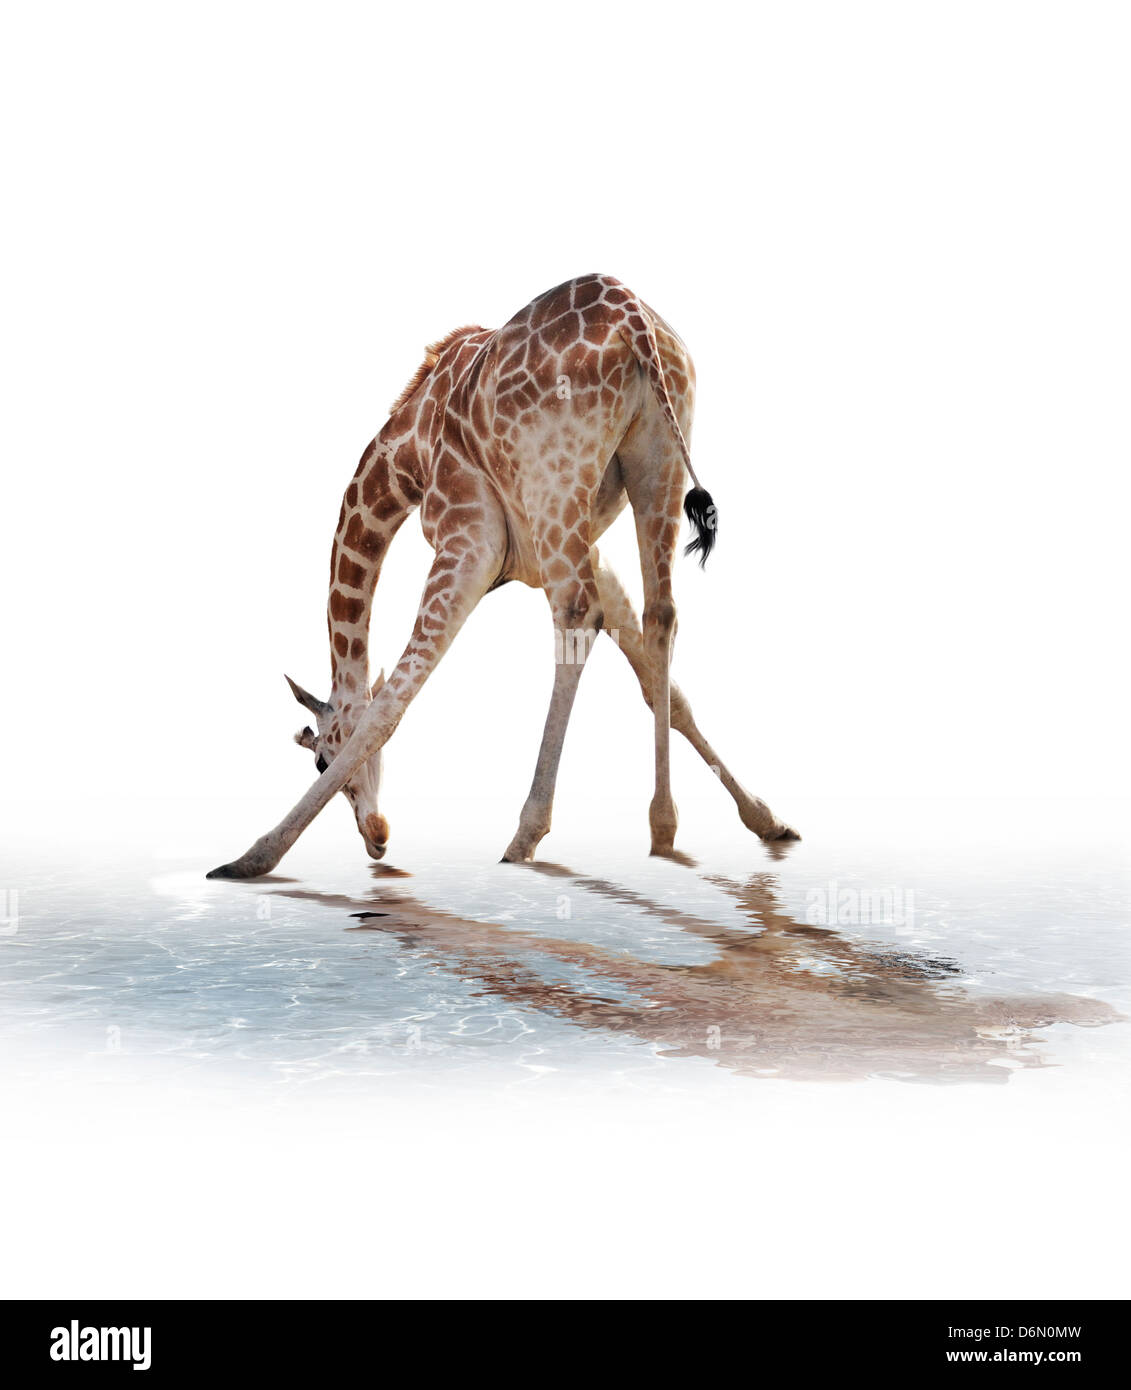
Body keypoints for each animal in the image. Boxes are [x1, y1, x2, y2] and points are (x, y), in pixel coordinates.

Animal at [208, 274, 798, 879]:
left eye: (322, 760)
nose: (378, 836)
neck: (406, 459)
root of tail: (633, 316)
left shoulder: (468, 539)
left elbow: (391, 702)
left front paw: (253, 857)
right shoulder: (583, 550)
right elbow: (665, 691)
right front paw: (765, 818)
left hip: (558, 483)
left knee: (576, 613)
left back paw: (526, 834)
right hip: (656, 461)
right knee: (661, 616)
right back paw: (663, 826)